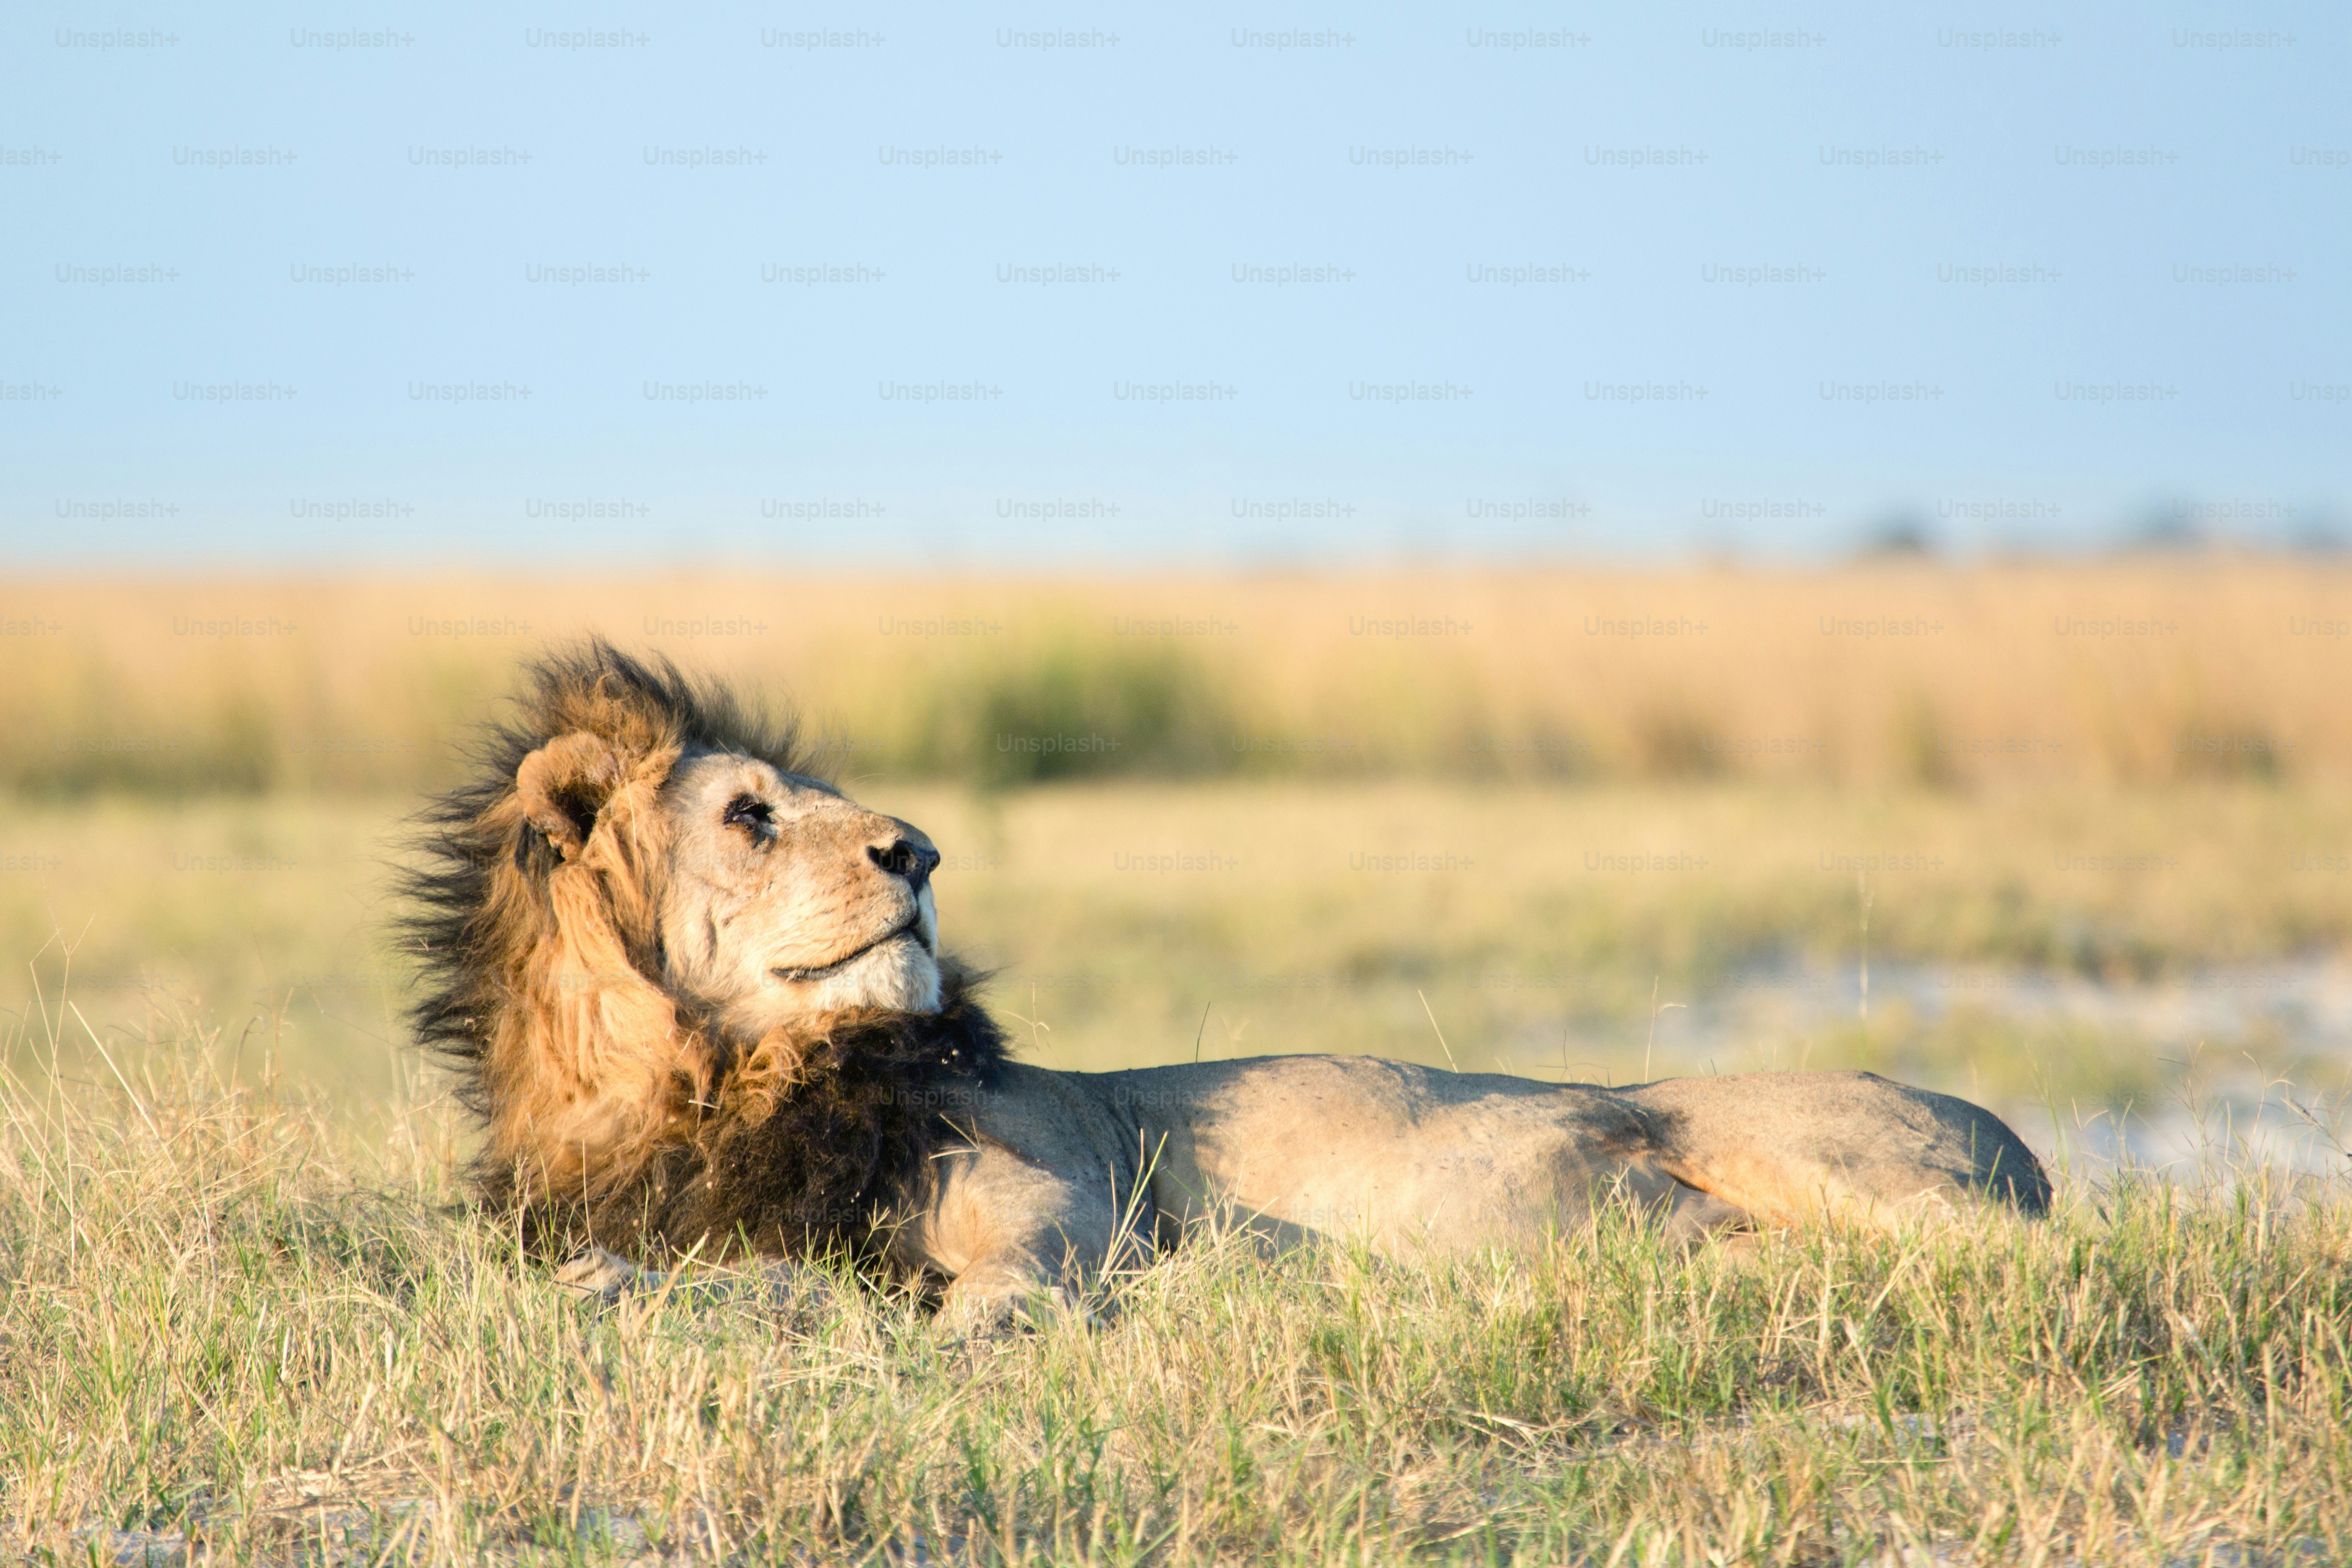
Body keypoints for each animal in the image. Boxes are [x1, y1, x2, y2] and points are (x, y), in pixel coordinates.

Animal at [404, 642, 2049, 1326]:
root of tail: (2019, 1142)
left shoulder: (1057, 1201)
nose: (918, 848)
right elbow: (688, 1269)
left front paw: (977, 1329)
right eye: (751, 813)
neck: (700, 1084)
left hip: (1827, 1153)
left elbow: (993, 1279)